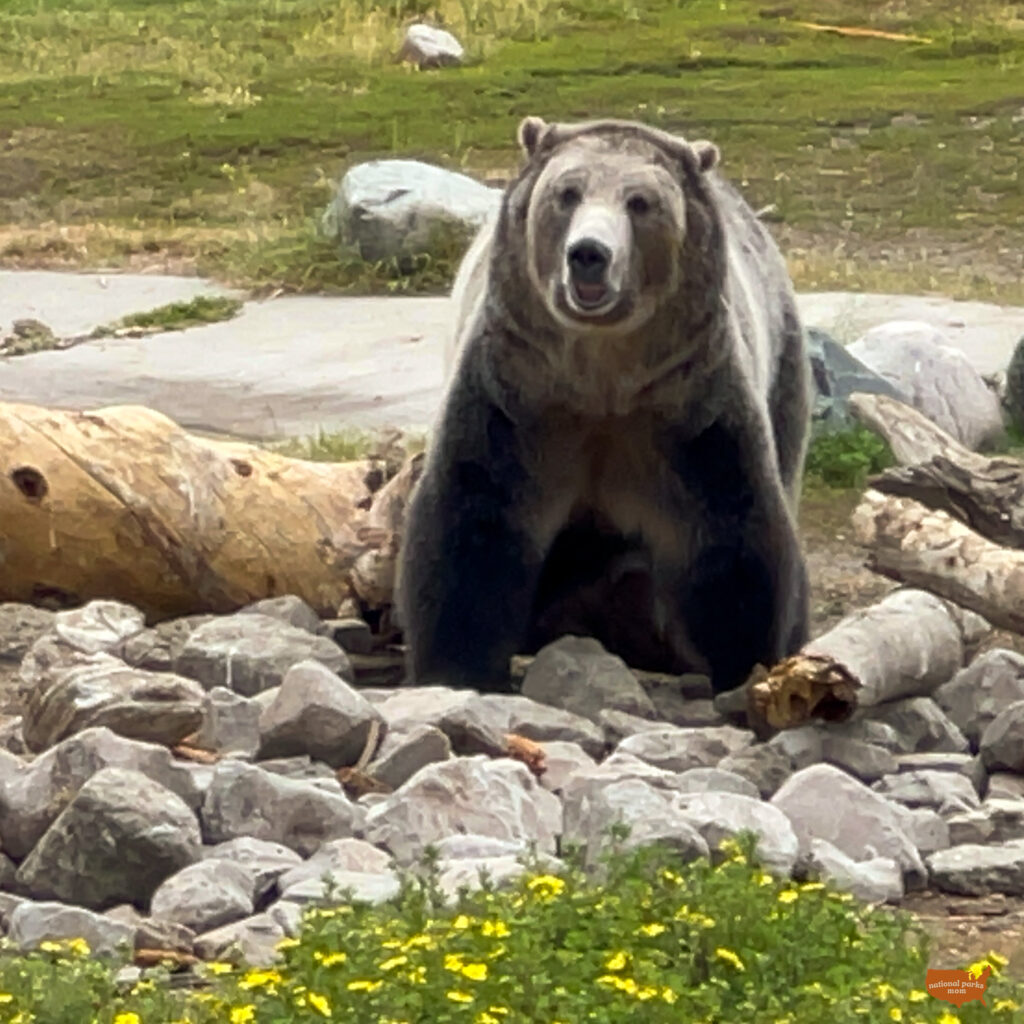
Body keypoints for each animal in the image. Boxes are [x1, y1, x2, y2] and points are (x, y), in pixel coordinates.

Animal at [396, 116, 811, 695]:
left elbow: (731, 536)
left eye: (640, 202)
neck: (602, 379)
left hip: (785, 373)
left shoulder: (689, 415)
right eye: (568, 192)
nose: (589, 253)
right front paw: (456, 669)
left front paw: (745, 663)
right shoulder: (520, 401)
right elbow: (473, 522)